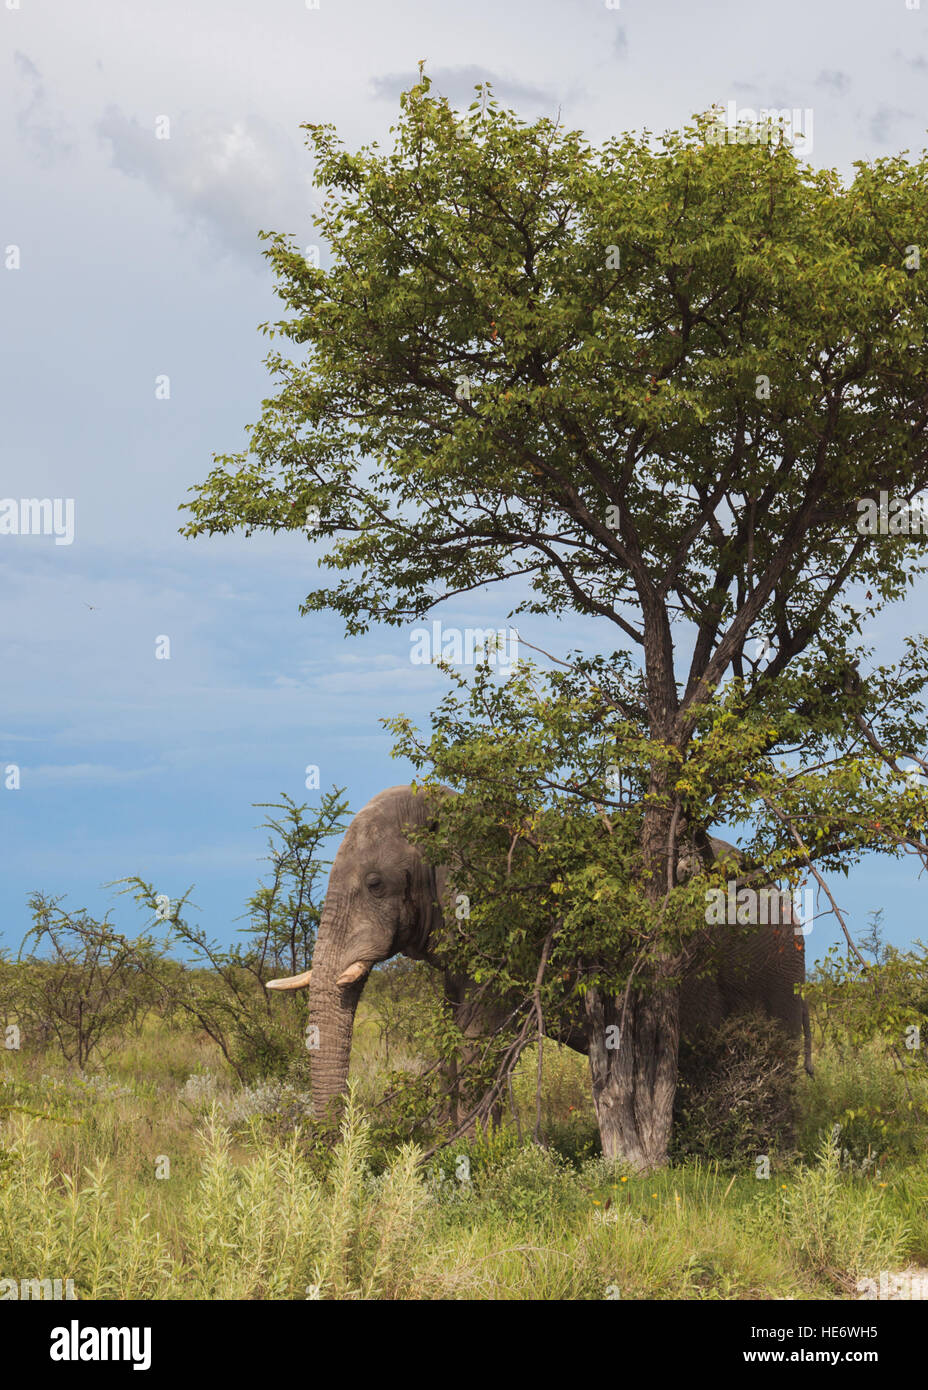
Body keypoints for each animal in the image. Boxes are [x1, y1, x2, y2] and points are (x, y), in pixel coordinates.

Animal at [266, 784, 811, 1134]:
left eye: (376, 884)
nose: (330, 1150)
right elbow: (451, 1034)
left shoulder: (507, 926)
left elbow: (477, 1038)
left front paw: (471, 1152)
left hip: (772, 972)